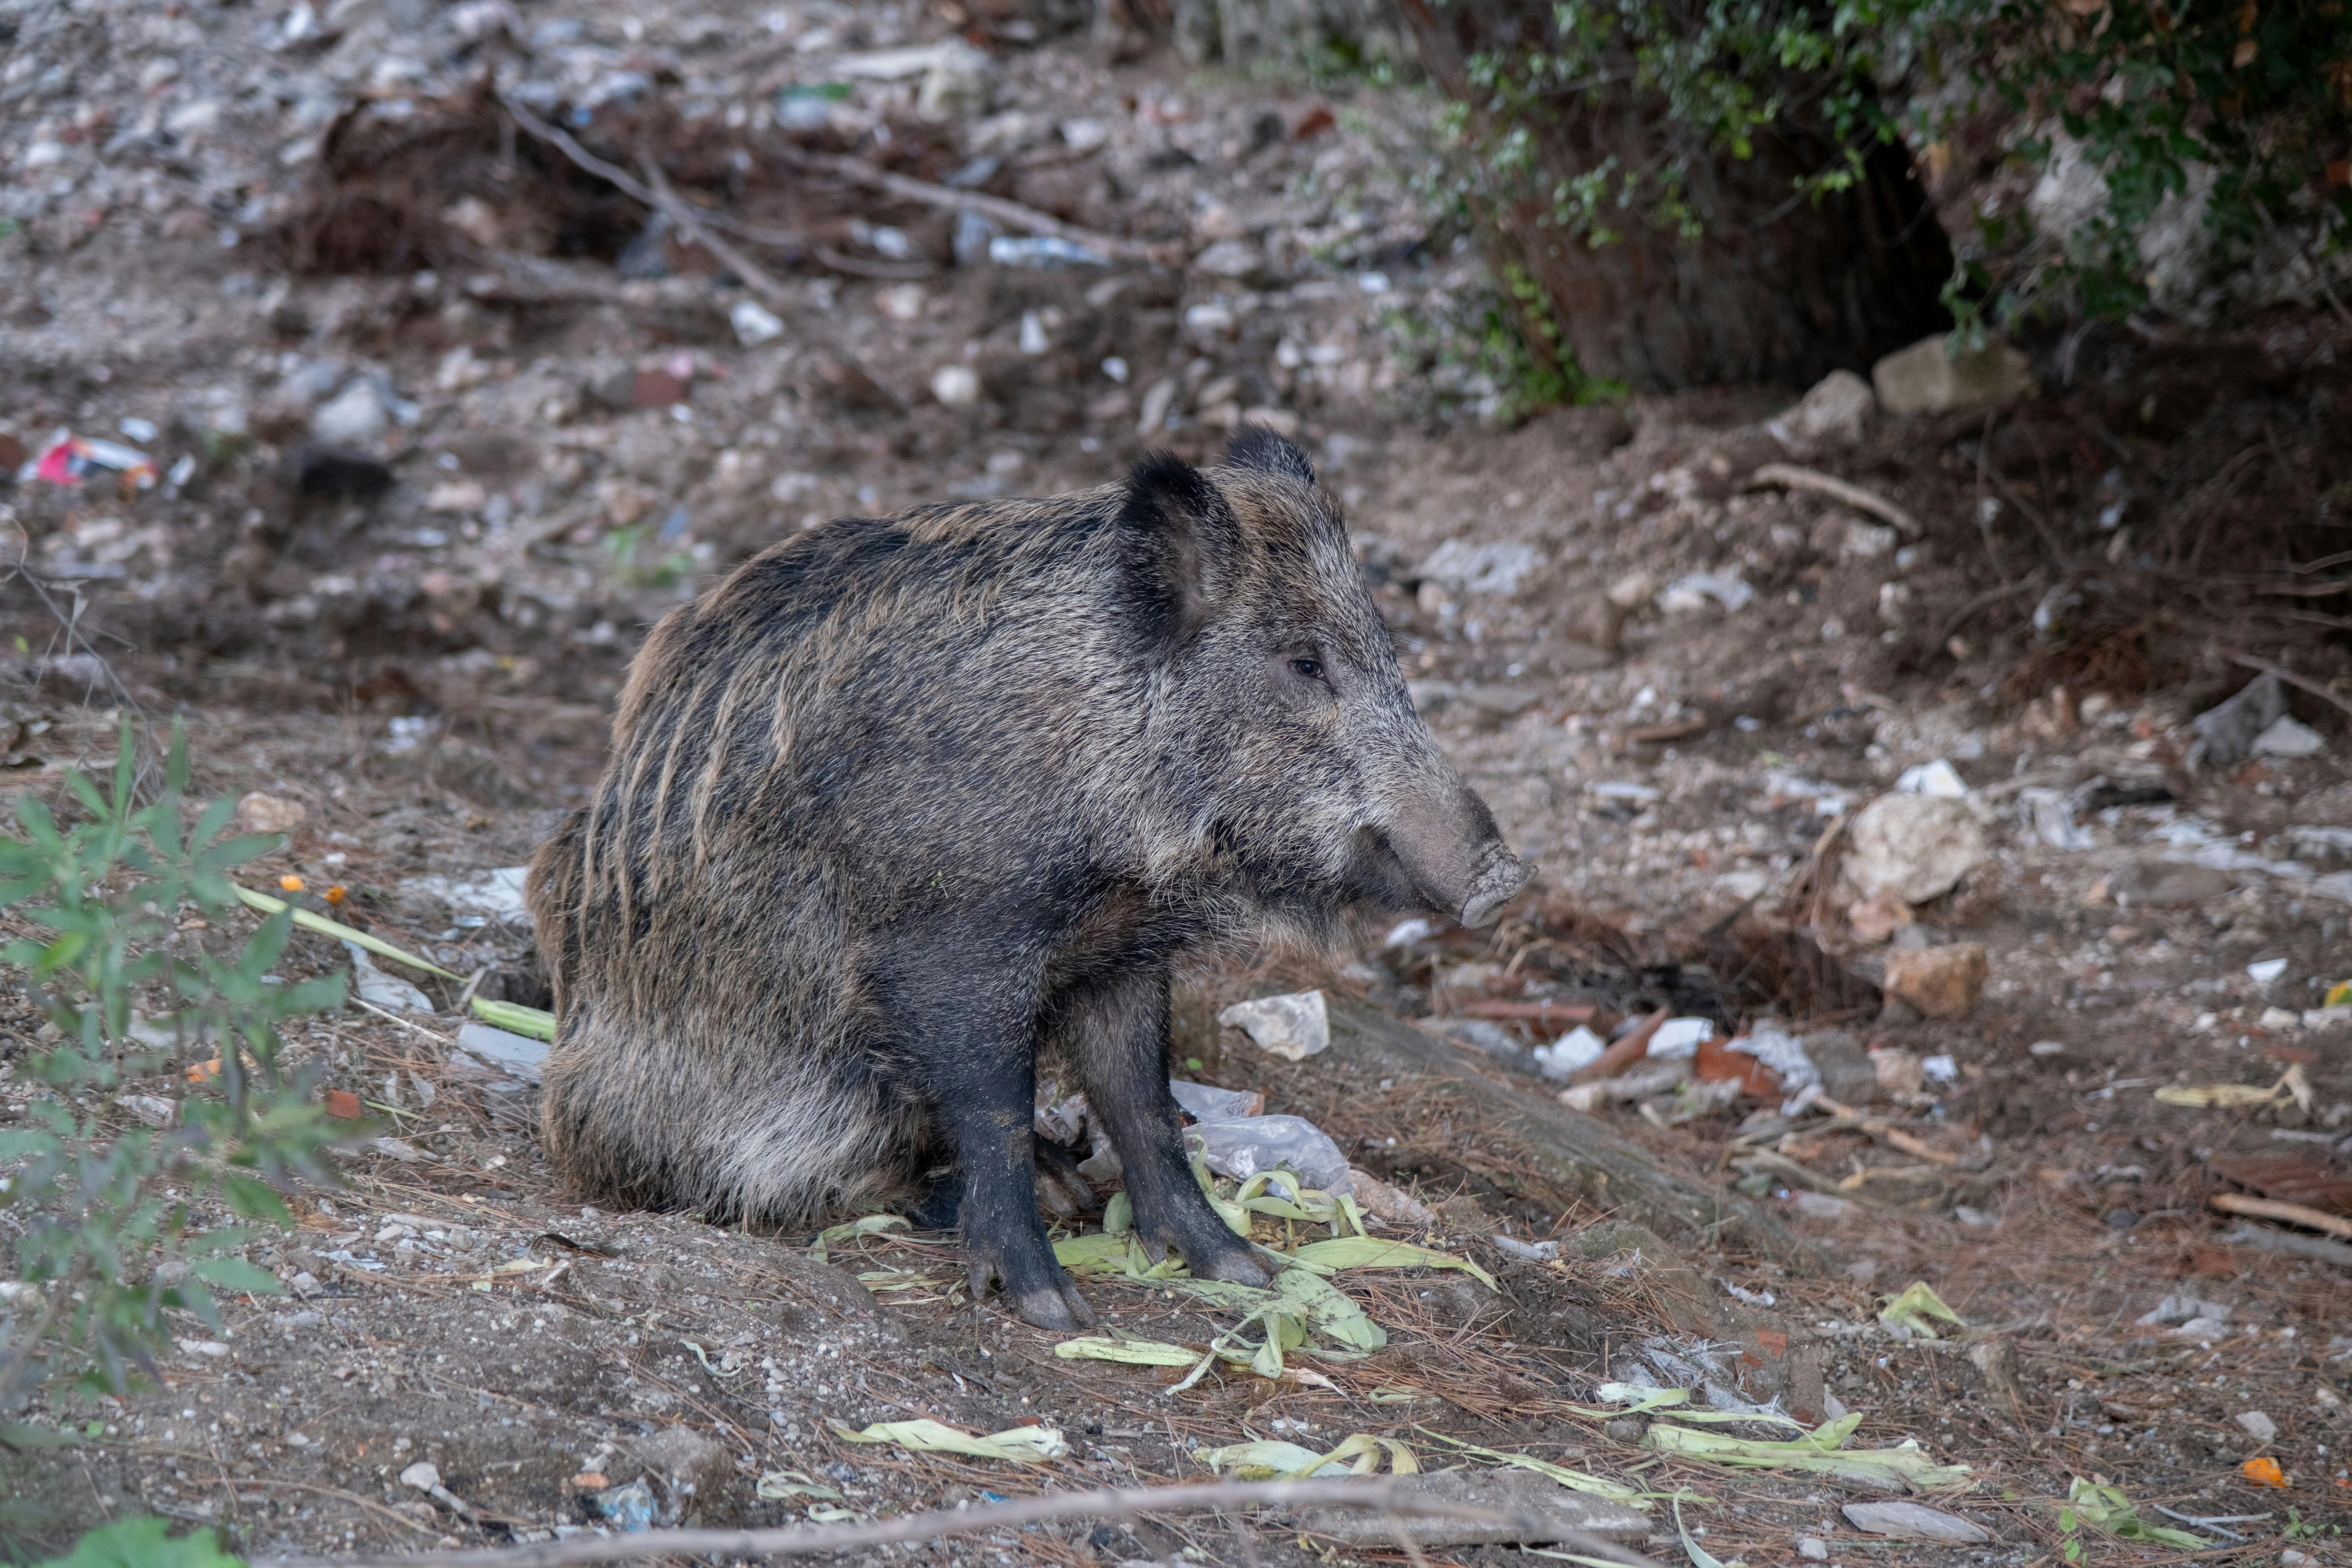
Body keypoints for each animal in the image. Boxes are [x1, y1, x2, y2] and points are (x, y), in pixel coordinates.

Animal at [526, 428, 1530, 1328]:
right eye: (1304, 661)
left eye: (1389, 654)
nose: (1502, 876)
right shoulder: (948, 952)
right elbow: (996, 1113)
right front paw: (1052, 1307)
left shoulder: (1121, 953)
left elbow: (1142, 1103)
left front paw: (1243, 1270)